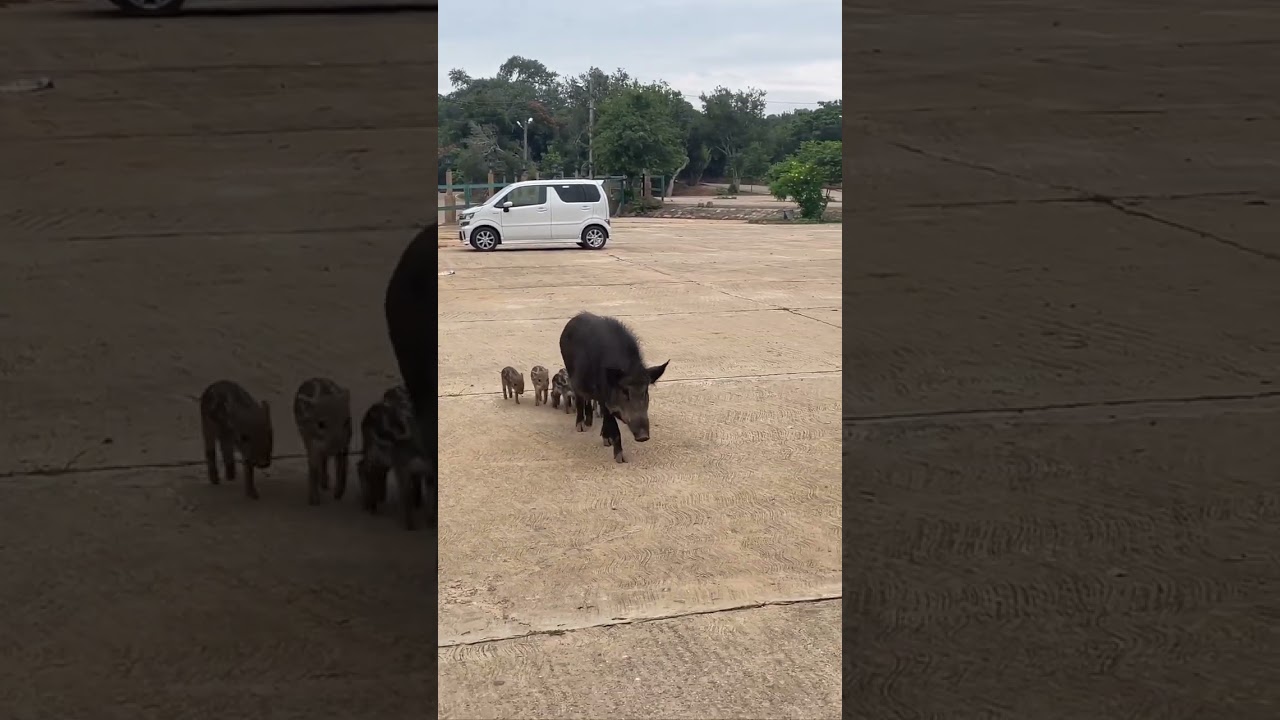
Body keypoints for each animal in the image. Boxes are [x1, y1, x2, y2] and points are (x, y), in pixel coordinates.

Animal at [559, 312, 669, 463]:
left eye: (645, 391)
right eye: (624, 391)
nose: (643, 436)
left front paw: (607, 442)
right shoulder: (605, 397)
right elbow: (614, 426)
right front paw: (620, 459)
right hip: (571, 371)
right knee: (580, 397)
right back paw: (581, 427)